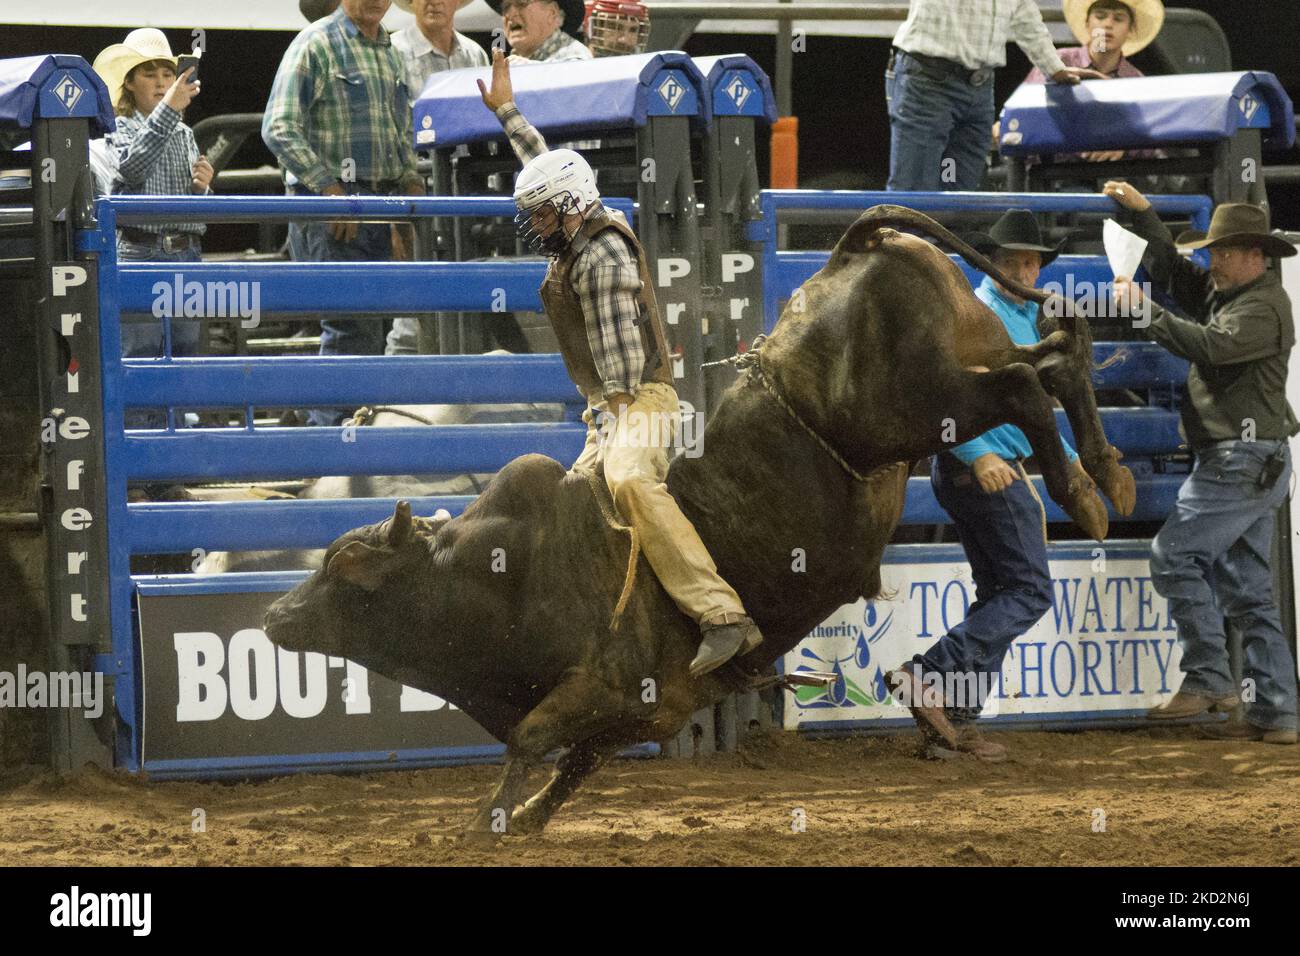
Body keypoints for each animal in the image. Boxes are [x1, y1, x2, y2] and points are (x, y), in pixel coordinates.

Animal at [264, 206, 1136, 838]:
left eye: (341, 566)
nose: (274, 615)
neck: (499, 576)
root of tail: (850, 249)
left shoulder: (605, 684)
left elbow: (532, 739)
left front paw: (487, 819)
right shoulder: (646, 710)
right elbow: (573, 764)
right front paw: (520, 818)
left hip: (921, 405)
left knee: (1025, 386)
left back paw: (1086, 491)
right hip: (955, 373)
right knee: (1052, 359)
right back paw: (1109, 475)